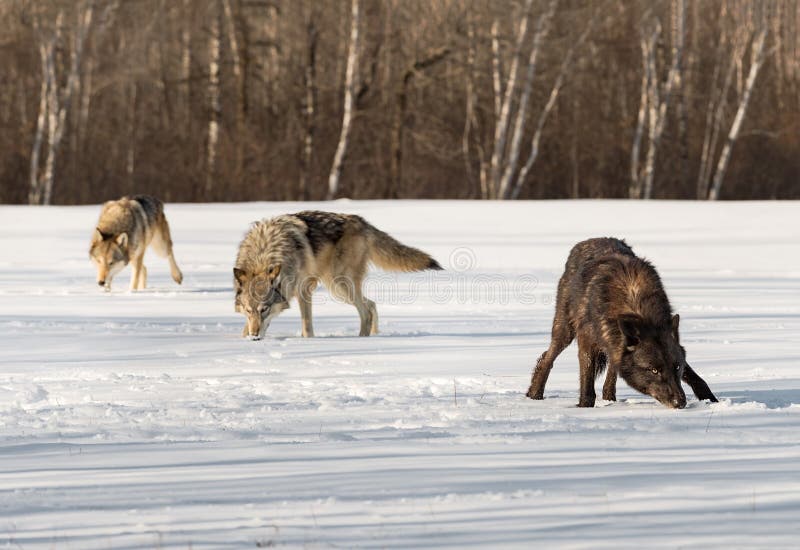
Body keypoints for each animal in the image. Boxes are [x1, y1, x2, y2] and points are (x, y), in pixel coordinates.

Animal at [234, 210, 442, 339]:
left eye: (264, 309)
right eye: (249, 310)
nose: (255, 336)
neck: (263, 254)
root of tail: (361, 221)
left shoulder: (304, 290)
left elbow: (307, 325)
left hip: (339, 285)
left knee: (366, 311)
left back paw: (362, 339)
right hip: (338, 287)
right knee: (371, 304)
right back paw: (374, 334)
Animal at [526, 237, 718, 408]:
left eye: (677, 367)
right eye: (654, 370)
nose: (680, 403)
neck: (637, 309)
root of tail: (590, 240)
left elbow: (696, 378)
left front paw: (712, 401)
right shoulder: (587, 341)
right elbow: (587, 381)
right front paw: (584, 407)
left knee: (612, 369)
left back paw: (609, 398)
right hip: (565, 330)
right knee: (547, 358)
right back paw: (534, 395)